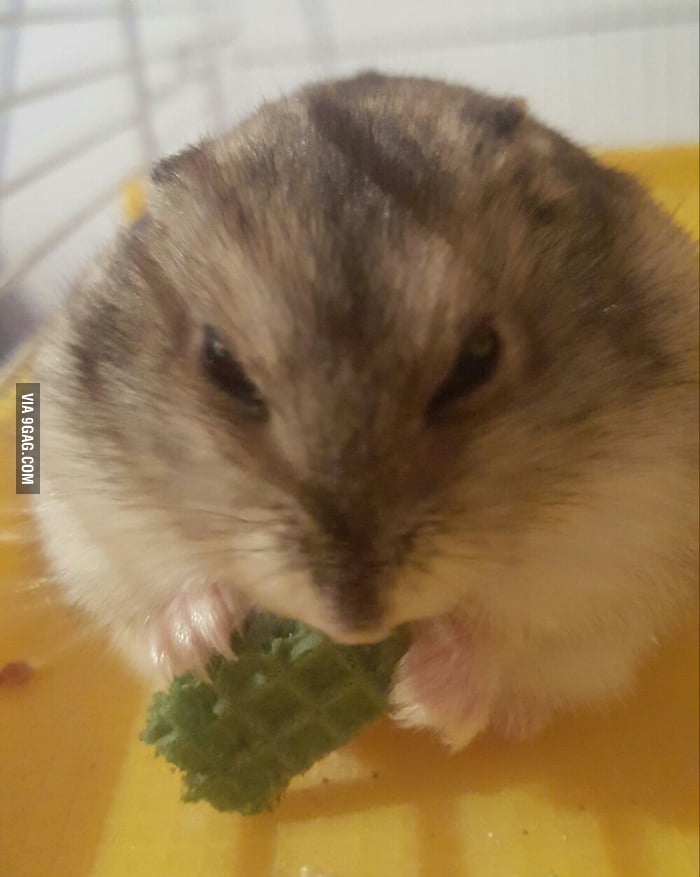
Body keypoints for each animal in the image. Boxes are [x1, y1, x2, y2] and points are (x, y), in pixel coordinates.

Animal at [30, 73, 699, 748]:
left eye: (477, 360)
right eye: (221, 364)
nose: (357, 626)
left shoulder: (620, 536)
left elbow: (517, 621)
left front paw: (422, 697)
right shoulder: (90, 512)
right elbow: (158, 588)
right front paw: (201, 636)